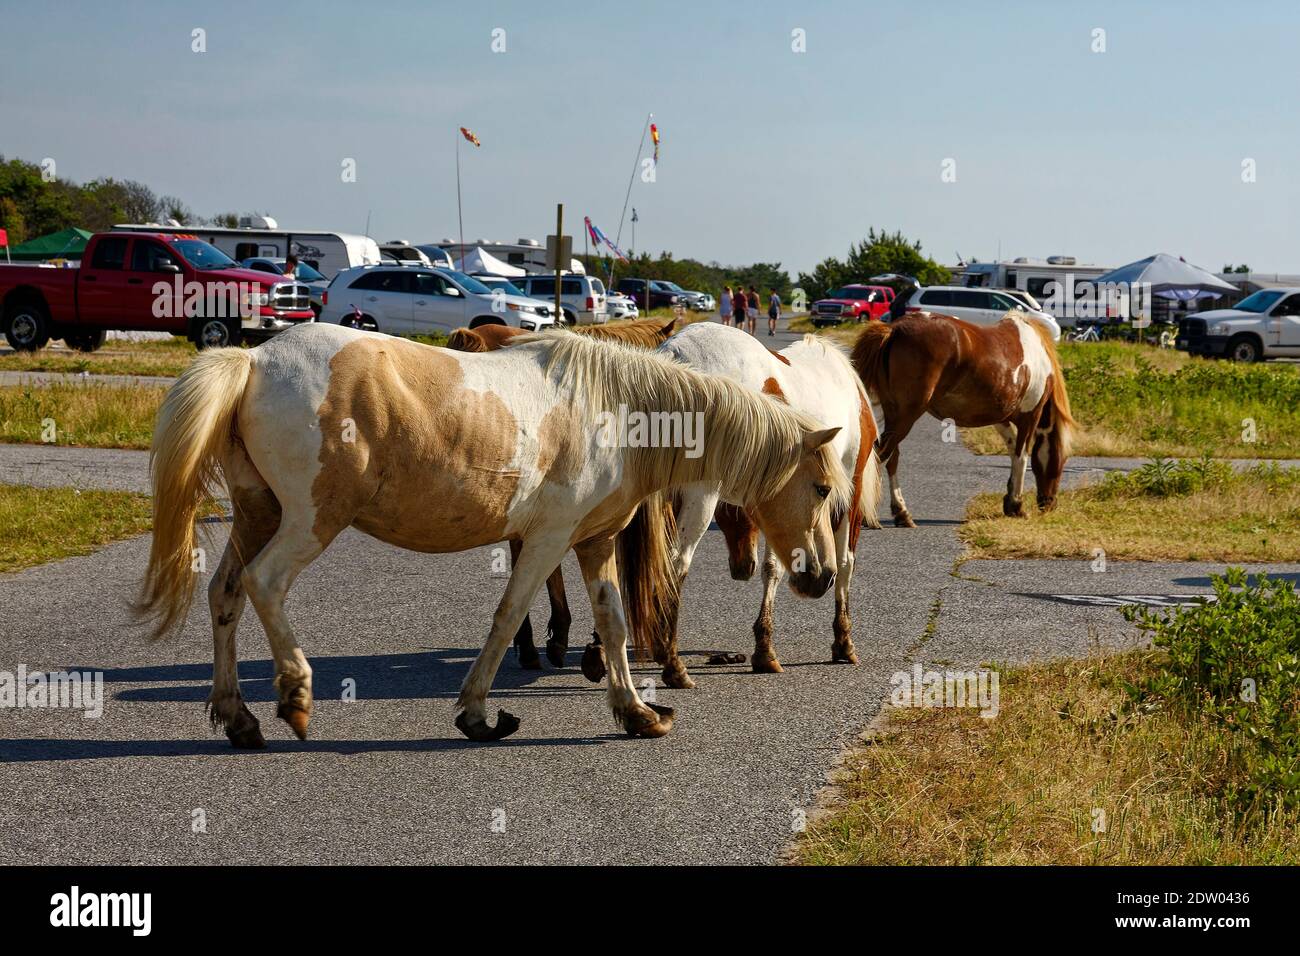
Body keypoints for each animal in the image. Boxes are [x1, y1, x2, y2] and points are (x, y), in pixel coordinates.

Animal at [590, 323, 881, 688]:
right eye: (822, 490)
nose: (818, 581)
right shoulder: (841, 499)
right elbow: (840, 563)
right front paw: (839, 642)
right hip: (699, 498)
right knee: (676, 563)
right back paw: (671, 662)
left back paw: (602, 651)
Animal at [851, 312, 1074, 527]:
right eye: (1061, 461)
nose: (1049, 503)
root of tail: (894, 329)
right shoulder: (1029, 417)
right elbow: (1021, 456)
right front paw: (1016, 505)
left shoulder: (1001, 419)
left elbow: (1012, 451)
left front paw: (1009, 501)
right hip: (906, 416)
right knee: (879, 455)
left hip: (895, 415)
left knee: (891, 458)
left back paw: (901, 513)